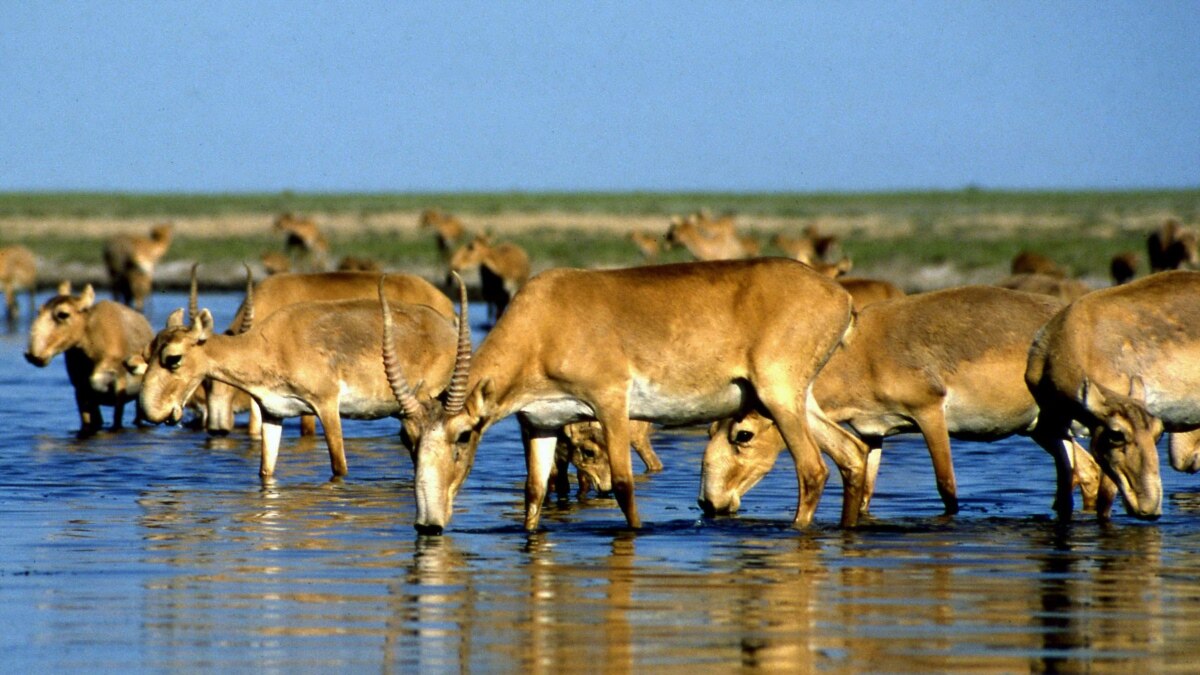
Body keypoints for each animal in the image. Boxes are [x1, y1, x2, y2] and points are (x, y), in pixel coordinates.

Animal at [24, 283, 153, 436]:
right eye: (39, 311)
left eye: (63, 314)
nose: (33, 355)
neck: (94, 352)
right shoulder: (81, 390)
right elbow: (87, 424)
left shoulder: (119, 386)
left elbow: (116, 422)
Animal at [388, 258, 867, 535]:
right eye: (408, 439)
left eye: (464, 434)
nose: (428, 524)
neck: (544, 320)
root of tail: (840, 297)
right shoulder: (539, 423)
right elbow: (534, 491)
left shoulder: (610, 405)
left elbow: (622, 485)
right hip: (798, 400)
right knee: (852, 454)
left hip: (779, 396)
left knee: (813, 469)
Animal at [699, 286, 1102, 518]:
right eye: (709, 429)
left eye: (744, 435)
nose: (707, 502)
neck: (858, 355)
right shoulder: (873, 433)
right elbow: (865, 492)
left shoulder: (929, 414)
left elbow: (947, 485)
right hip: (1041, 429)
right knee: (1084, 471)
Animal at [1026, 270, 1200, 521]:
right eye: (1116, 434)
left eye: (1158, 433)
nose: (1150, 508)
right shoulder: (1054, 430)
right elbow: (1065, 498)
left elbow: (1104, 501)